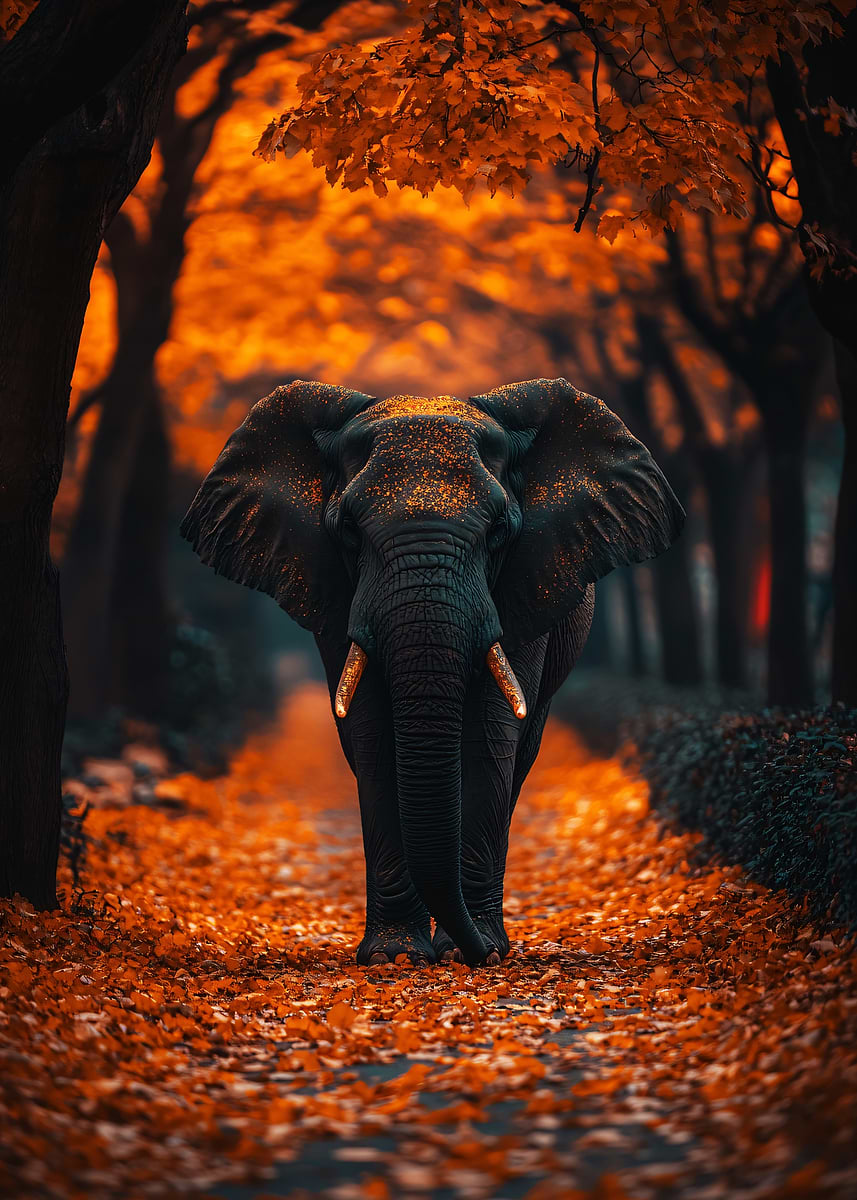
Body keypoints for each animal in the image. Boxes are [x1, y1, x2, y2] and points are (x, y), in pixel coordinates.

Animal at [181, 378, 684, 967]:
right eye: (348, 531)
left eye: (498, 531)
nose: (478, 955)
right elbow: (373, 735)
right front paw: (394, 956)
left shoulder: (526, 584)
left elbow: (490, 734)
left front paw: (476, 949)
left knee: (520, 753)